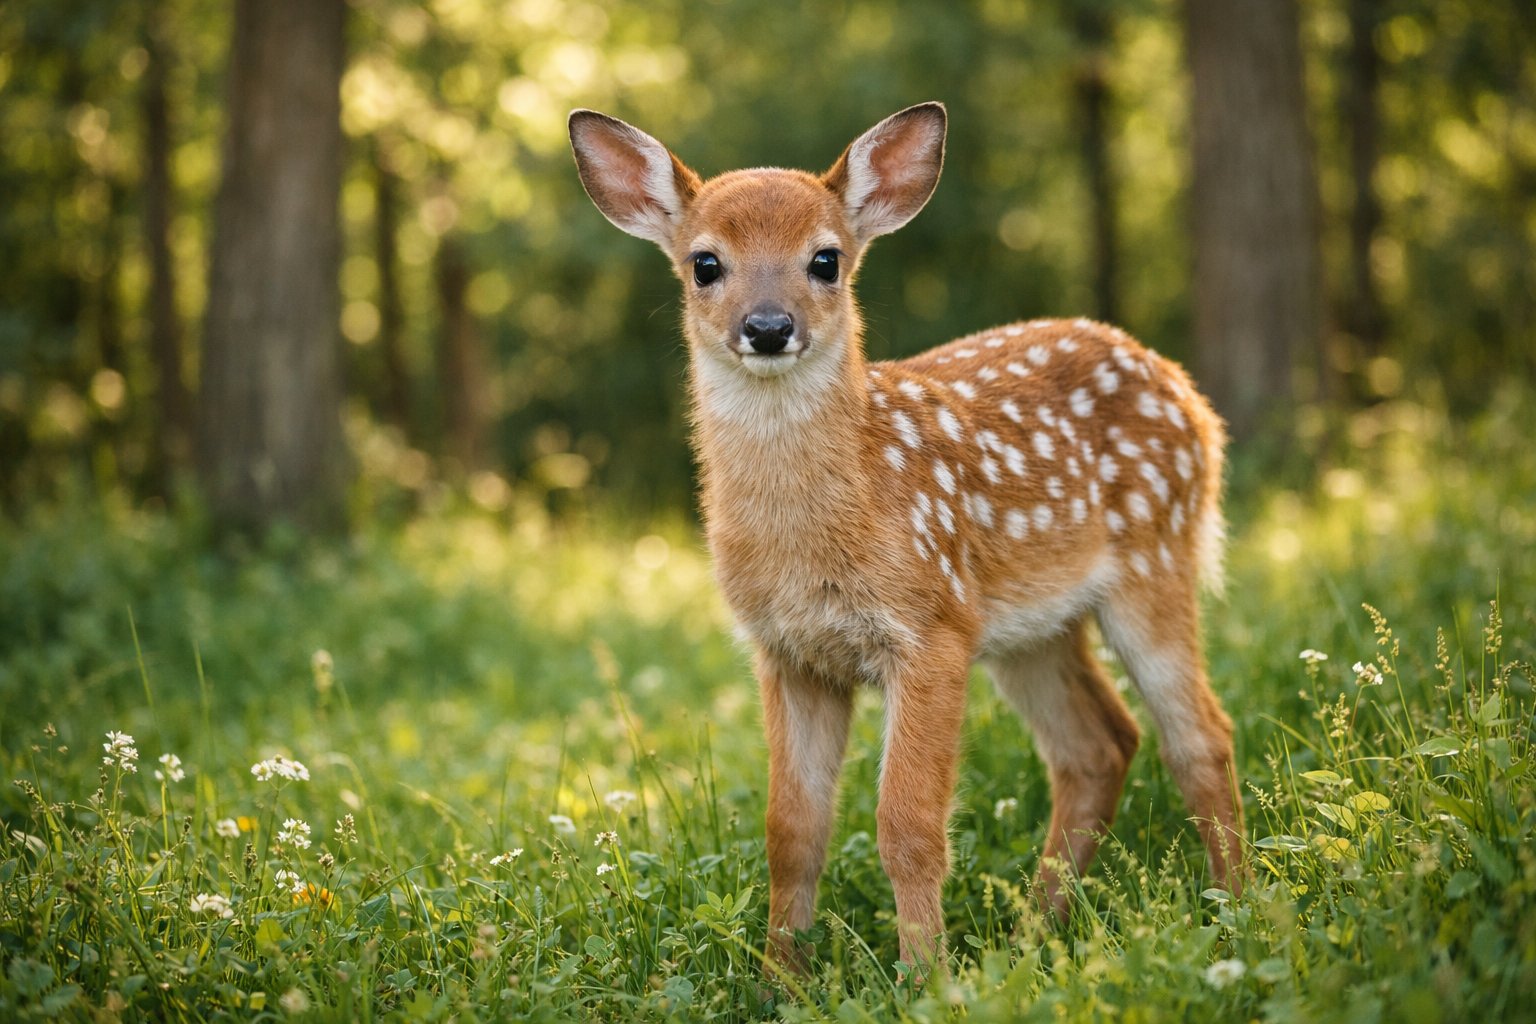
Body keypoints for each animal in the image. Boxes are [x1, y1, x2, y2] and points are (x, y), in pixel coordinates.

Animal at [568, 101, 1244, 977]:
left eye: (825, 259)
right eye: (704, 264)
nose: (768, 327)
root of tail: (1186, 393)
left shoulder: (929, 626)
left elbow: (909, 828)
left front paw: (927, 979)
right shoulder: (787, 653)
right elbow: (792, 833)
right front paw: (780, 982)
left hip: (1155, 560)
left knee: (1199, 735)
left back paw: (1236, 911)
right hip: (1030, 629)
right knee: (1098, 745)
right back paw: (1033, 936)